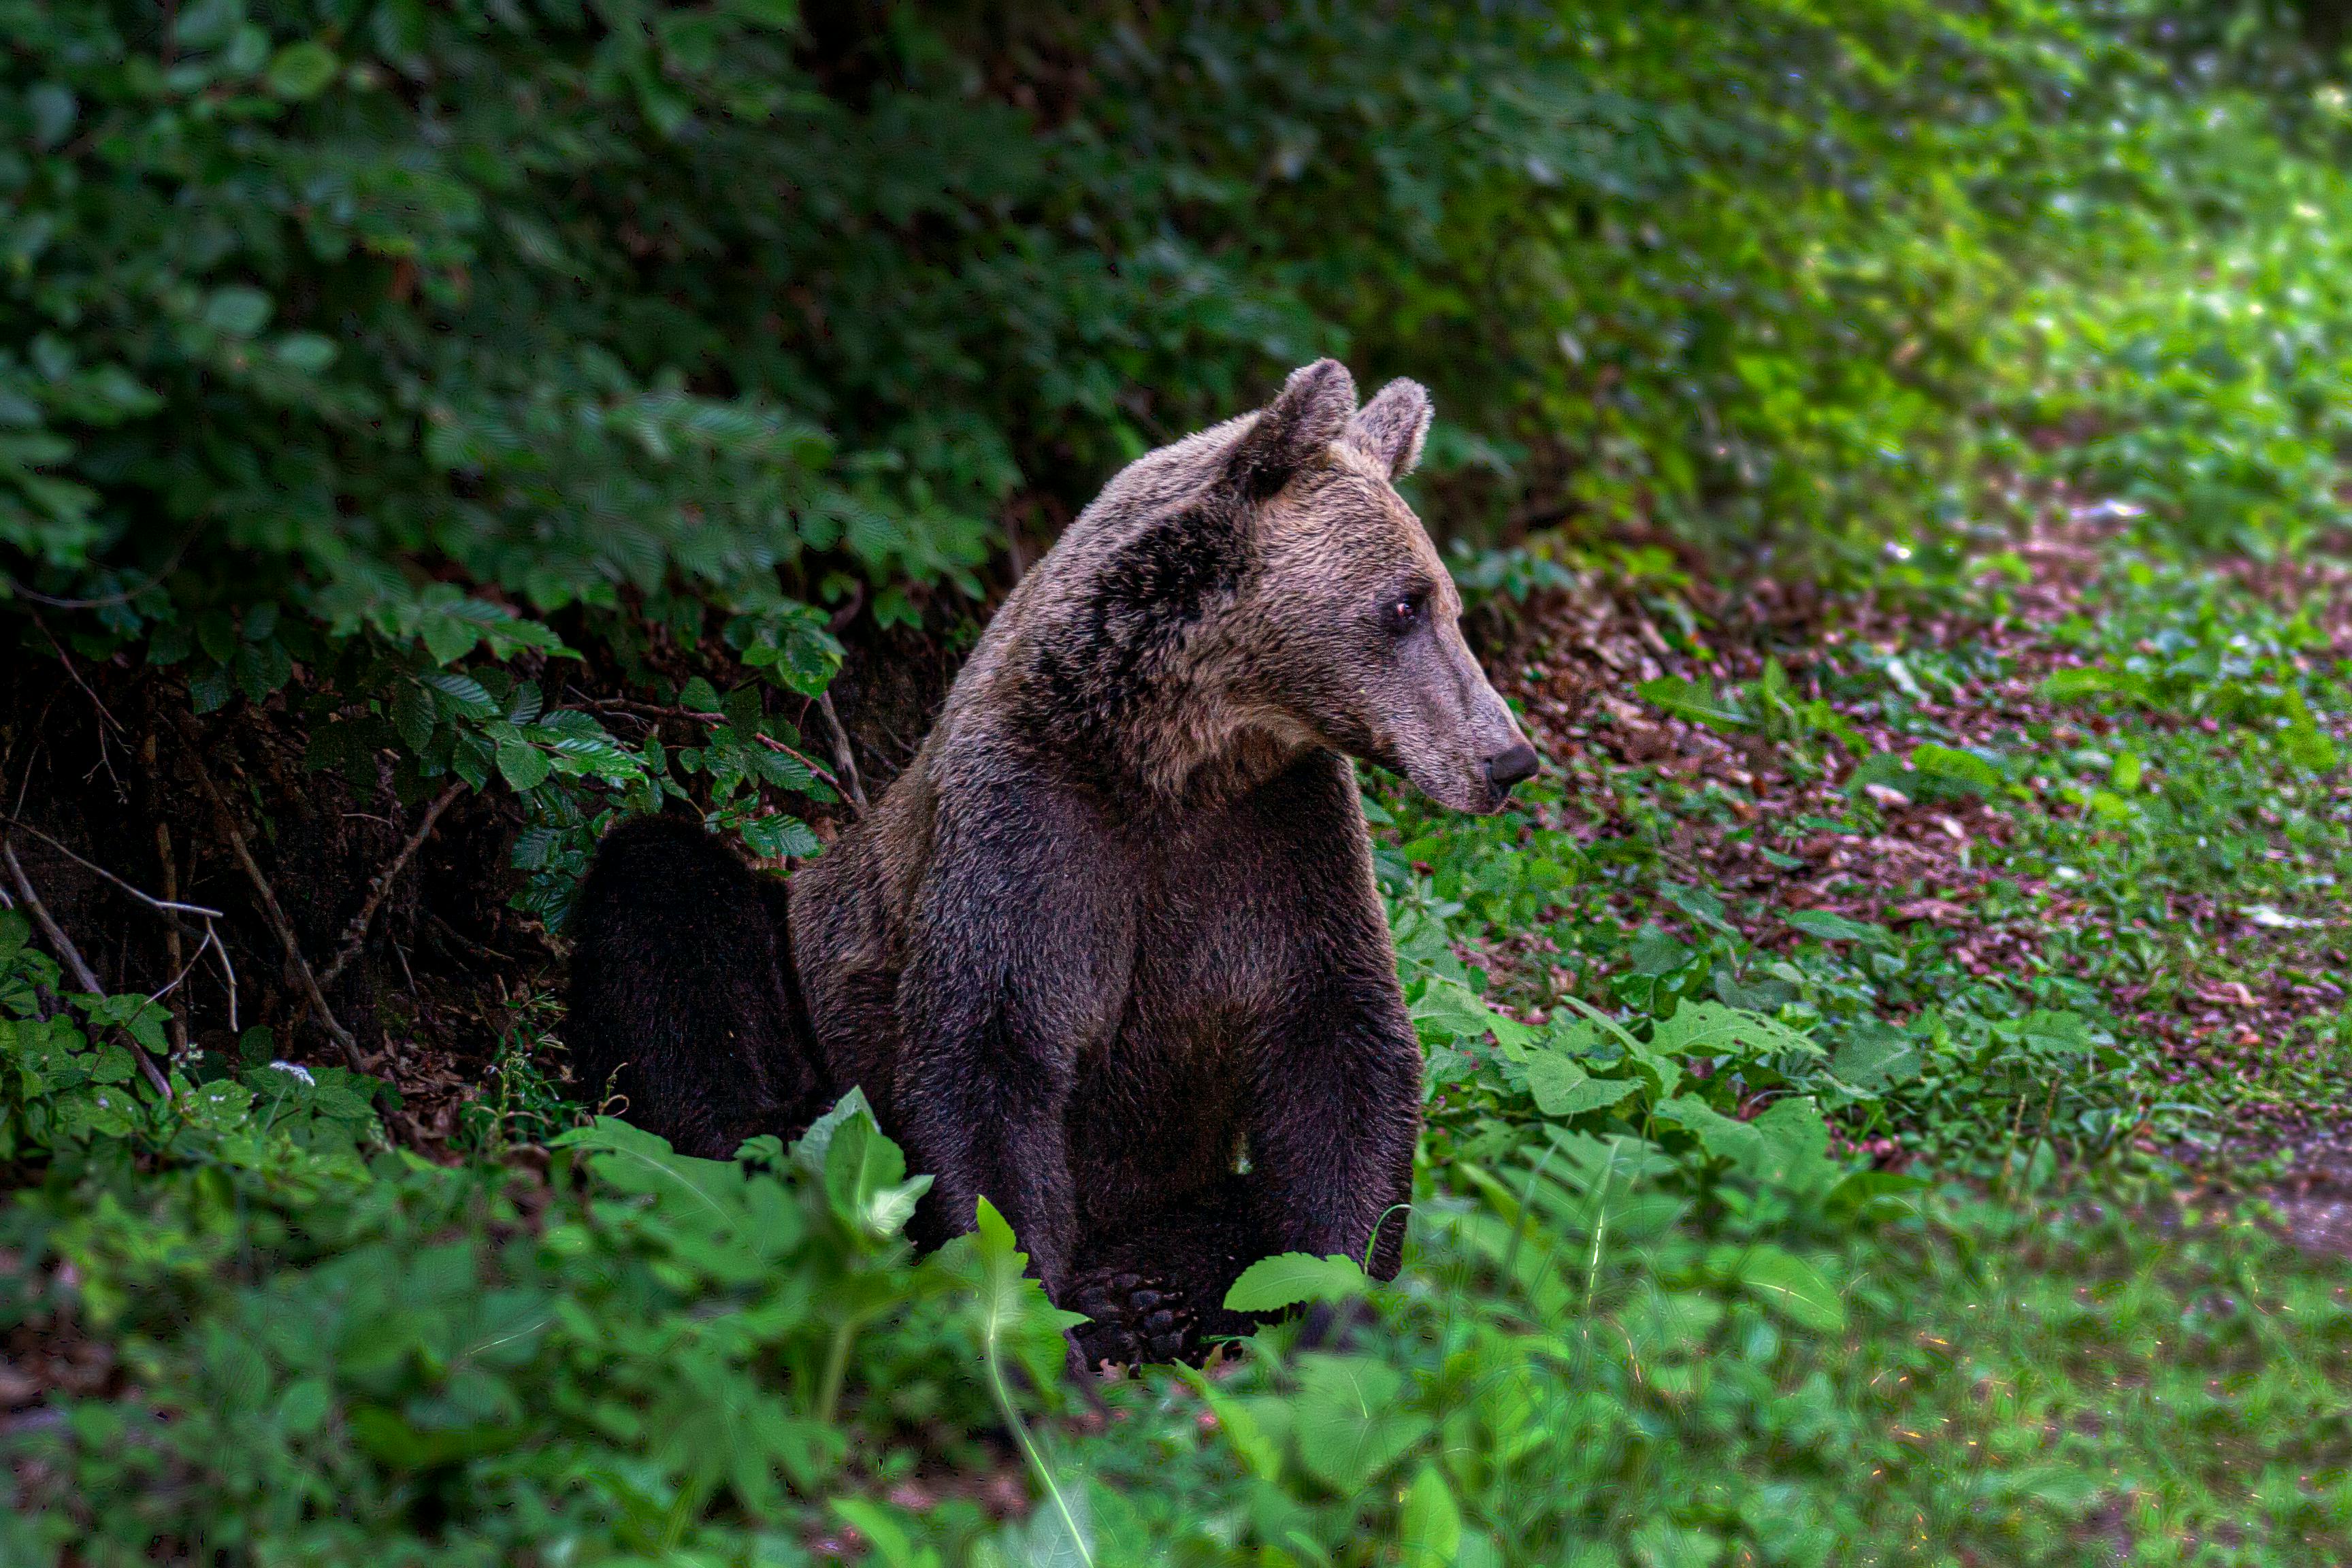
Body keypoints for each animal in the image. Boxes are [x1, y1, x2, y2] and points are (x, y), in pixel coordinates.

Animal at [569, 360, 1539, 1367]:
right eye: (1405, 605)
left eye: (1446, 601)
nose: (1509, 758)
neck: (1173, 753)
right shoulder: (1030, 831)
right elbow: (988, 1058)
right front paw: (1030, 1324)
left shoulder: (1277, 842)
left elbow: (1340, 1052)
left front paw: (1327, 1306)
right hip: (802, 974)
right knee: (669, 903)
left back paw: (1142, 1294)